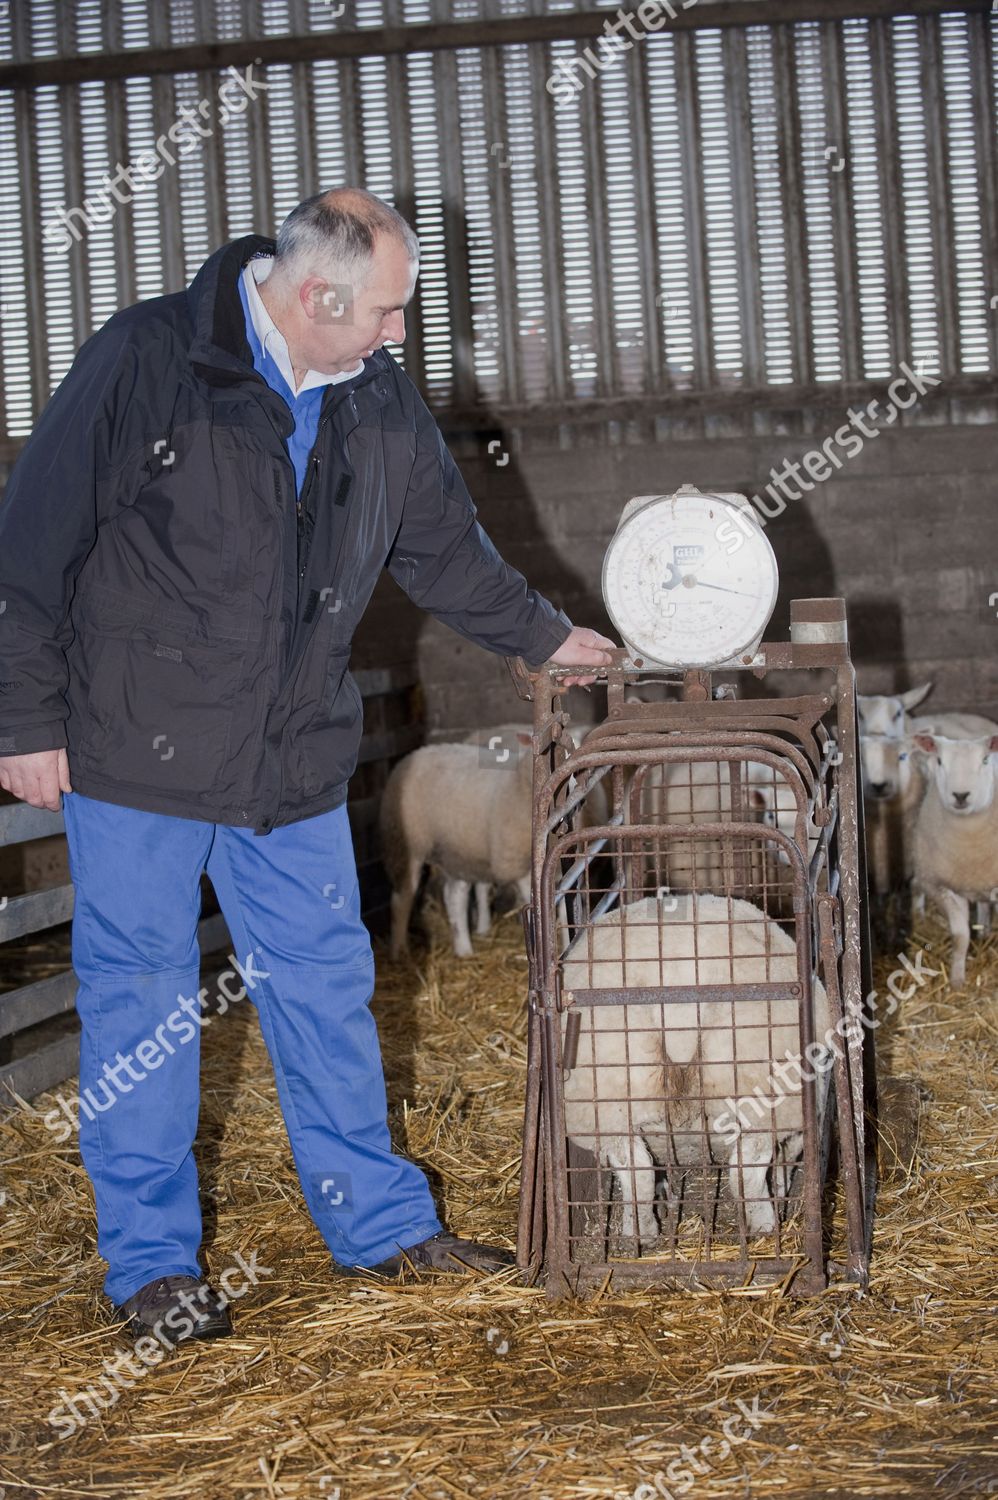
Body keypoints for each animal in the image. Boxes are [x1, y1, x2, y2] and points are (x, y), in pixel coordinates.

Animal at [380, 738, 532, 960]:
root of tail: (415, 753)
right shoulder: (517, 861)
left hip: (458, 851)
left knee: (455, 896)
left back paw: (464, 949)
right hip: (408, 845)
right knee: (402, 898)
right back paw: (399, 951)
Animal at [560, 894, 830, 1248]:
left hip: (609, 1093)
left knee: (637, 1172)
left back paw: (641, 1234)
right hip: (760, 1085)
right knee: (744, 1170)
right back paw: (764, 1226)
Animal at [911, 731, 998, 986]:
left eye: (985, 760)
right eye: (939, 761)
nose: (961, 795)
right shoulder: (940, 887)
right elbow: (960, 937)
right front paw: (957, 981)